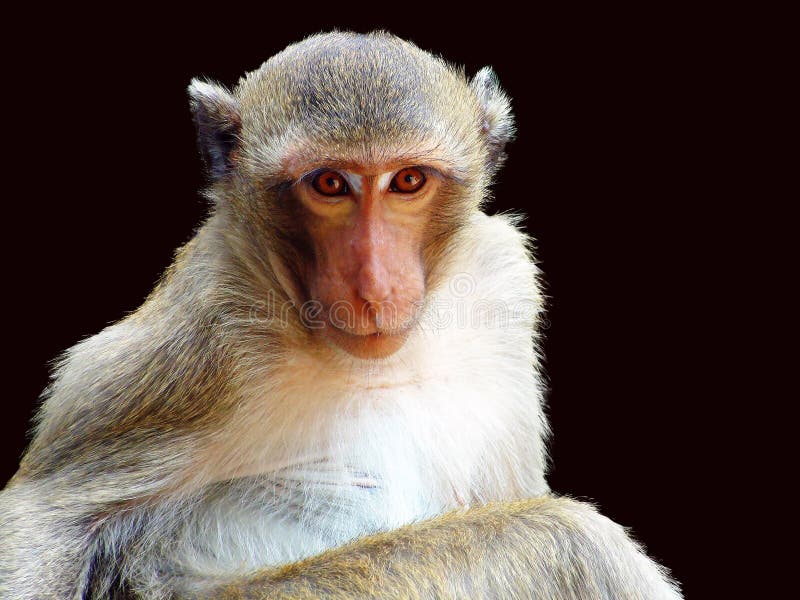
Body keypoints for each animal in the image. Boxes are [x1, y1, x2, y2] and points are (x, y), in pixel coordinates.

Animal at [0, 31, 681, 599]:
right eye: (329, 184)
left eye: (408, 181)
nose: (373, 286)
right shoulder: (203, 336)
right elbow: (46, 523)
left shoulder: (500, 287)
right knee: (573, 540)